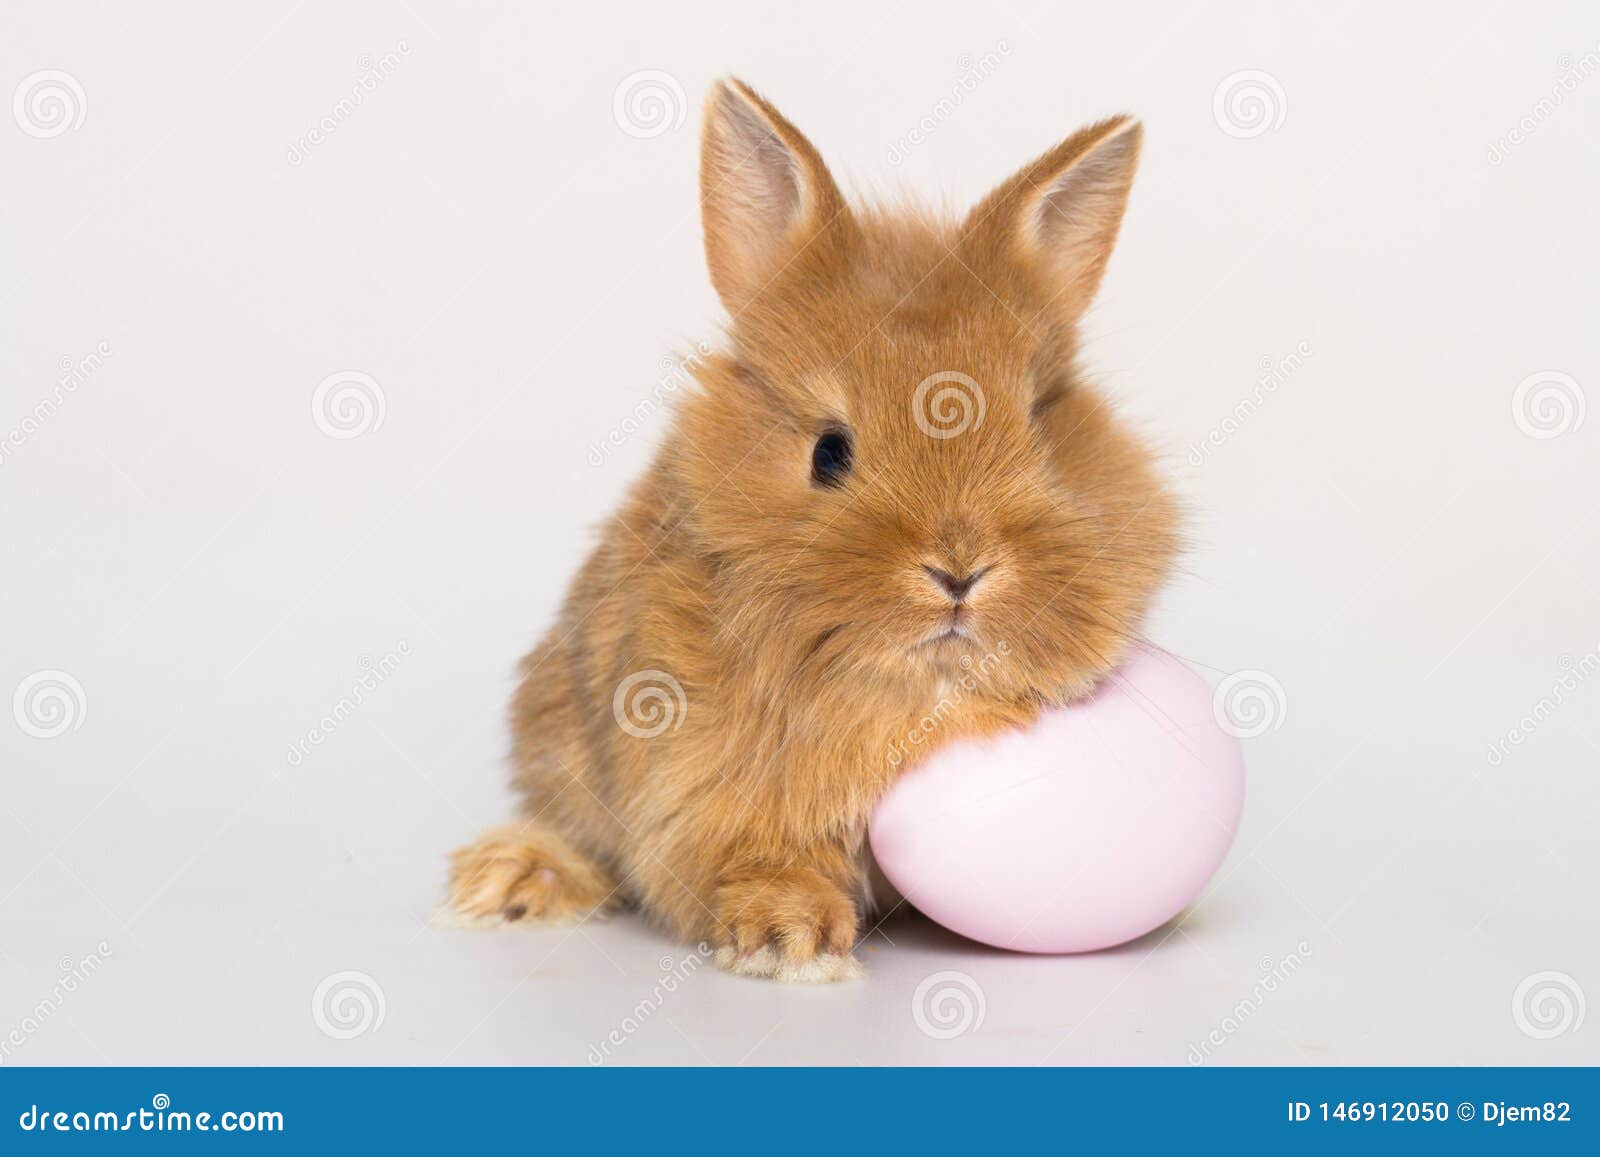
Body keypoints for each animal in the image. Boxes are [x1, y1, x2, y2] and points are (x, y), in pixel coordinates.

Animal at [448, 77, 1179, 981]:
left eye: (1042, 431)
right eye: (830, 451)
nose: (960, 570)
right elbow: (757, 856)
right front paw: (788, 940)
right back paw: (511, 879)